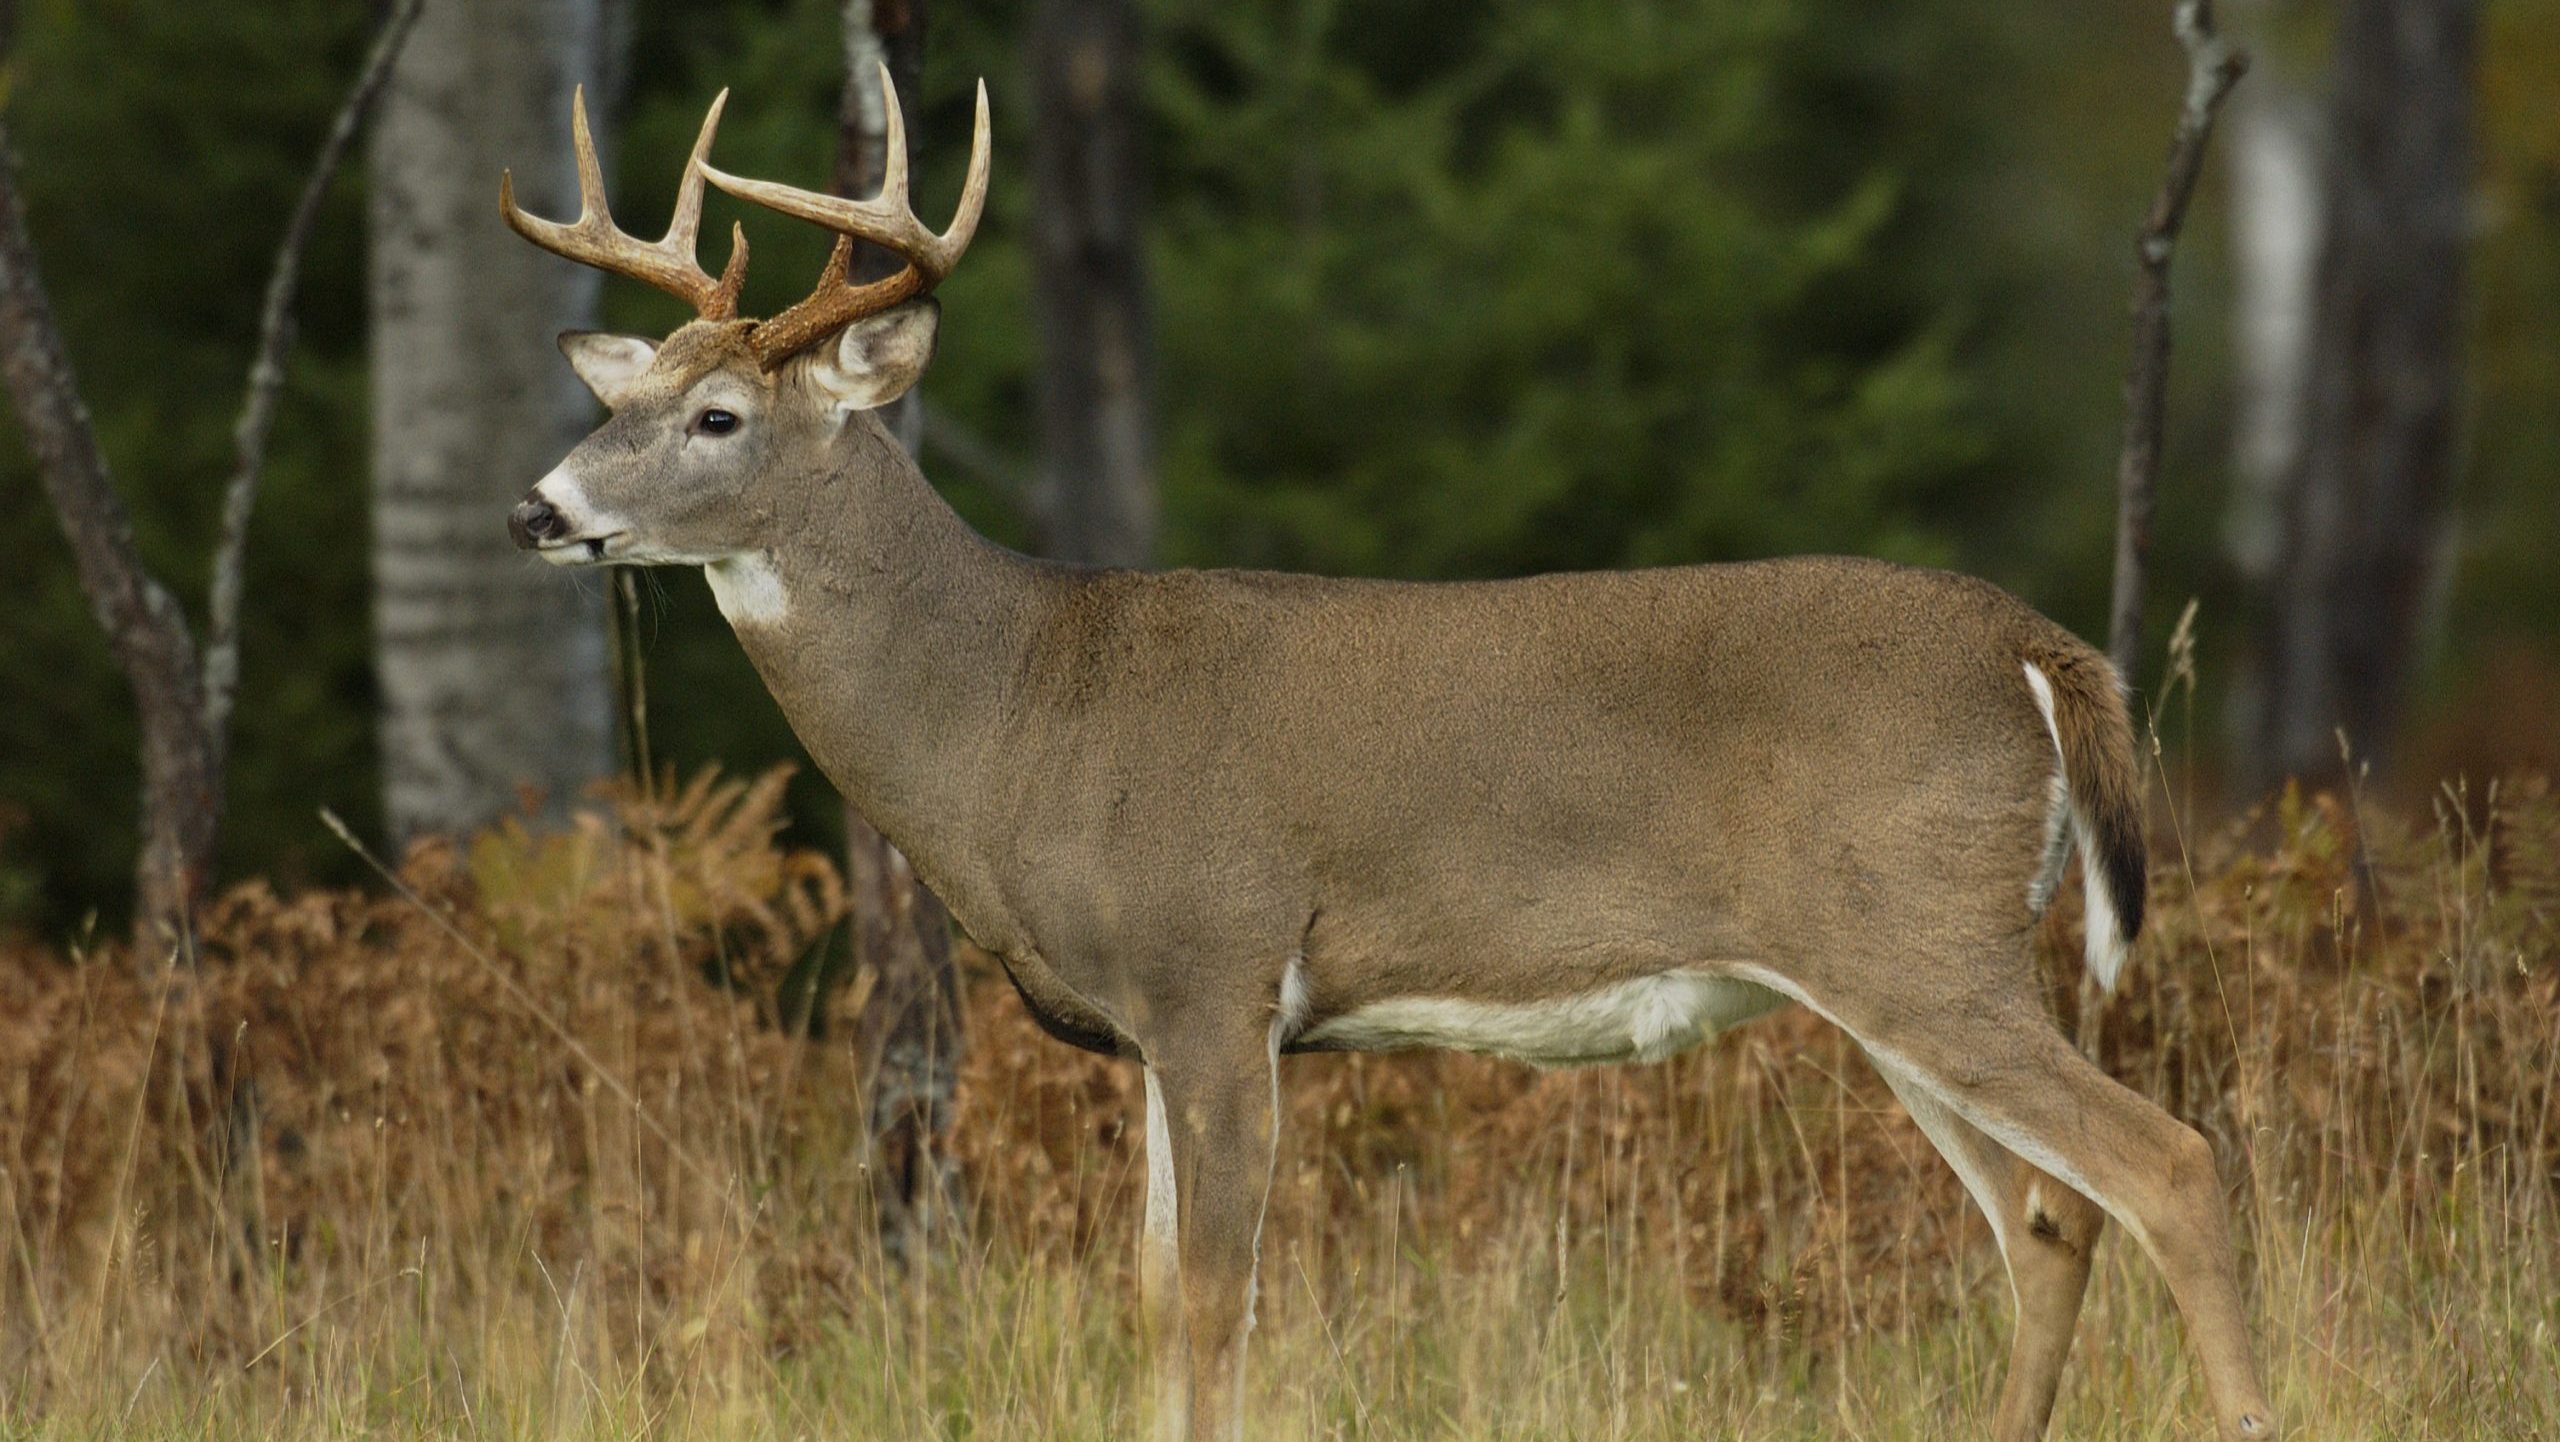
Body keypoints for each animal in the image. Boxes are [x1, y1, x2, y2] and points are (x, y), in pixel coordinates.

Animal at [497, 73, 2278, 1442]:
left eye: (719, 417)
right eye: (629, 393)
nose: (538, 507)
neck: (1013, 711)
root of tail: (2043, 650)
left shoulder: (1217, 968)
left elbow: (1217, 1303)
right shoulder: (1155, 1025)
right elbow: (1154, 1299)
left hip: (1921, 937)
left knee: (2170, 1165)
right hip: (1900, 960)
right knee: (2051, 1219)